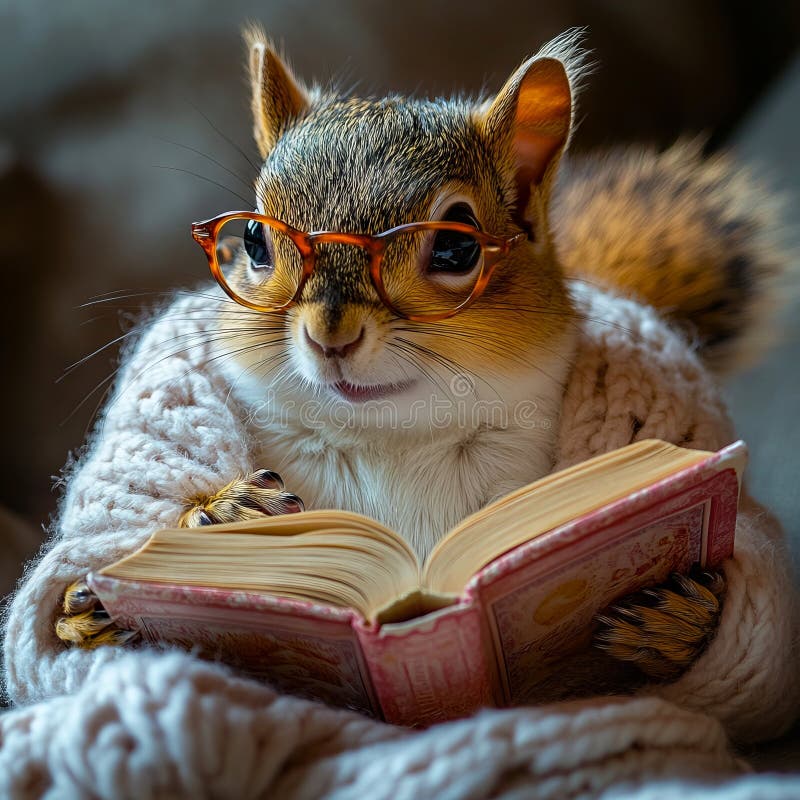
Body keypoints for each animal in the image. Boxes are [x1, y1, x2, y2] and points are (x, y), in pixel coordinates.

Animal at [56, 27, 786, 684]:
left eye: (458, 247)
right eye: (256, 241)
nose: (331, 336)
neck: (393, 441)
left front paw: (682, 620)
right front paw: (207, 520)